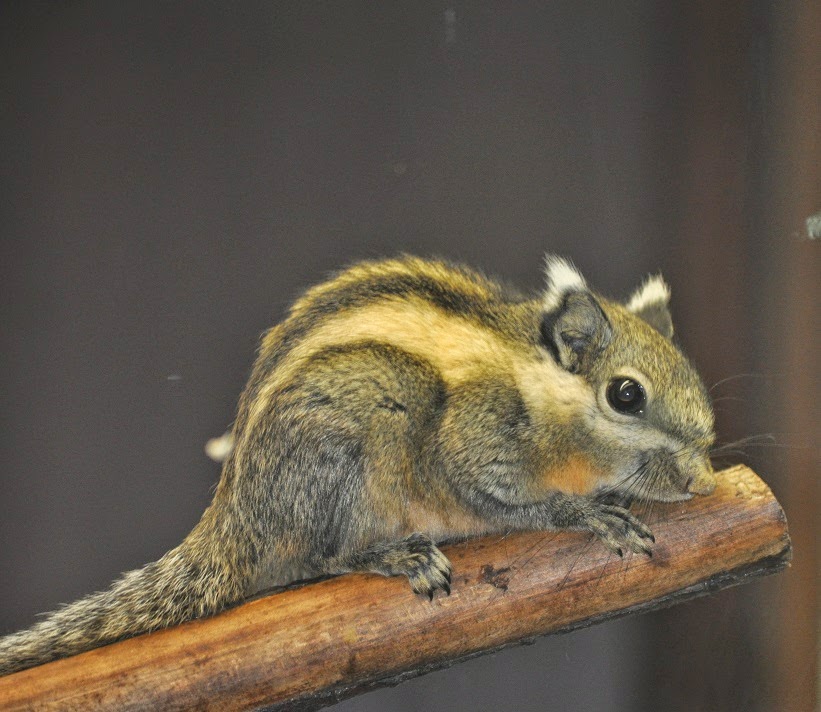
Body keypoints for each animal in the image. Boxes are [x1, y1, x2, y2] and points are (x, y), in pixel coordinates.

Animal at [0, 255, 717, 676]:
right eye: (626, 395)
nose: (702, 480)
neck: (538, 387)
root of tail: (235, 518)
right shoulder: (473, 440)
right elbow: (504, 498)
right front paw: (591, 513)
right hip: (357, 431)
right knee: (322, 557)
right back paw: (390, 555)